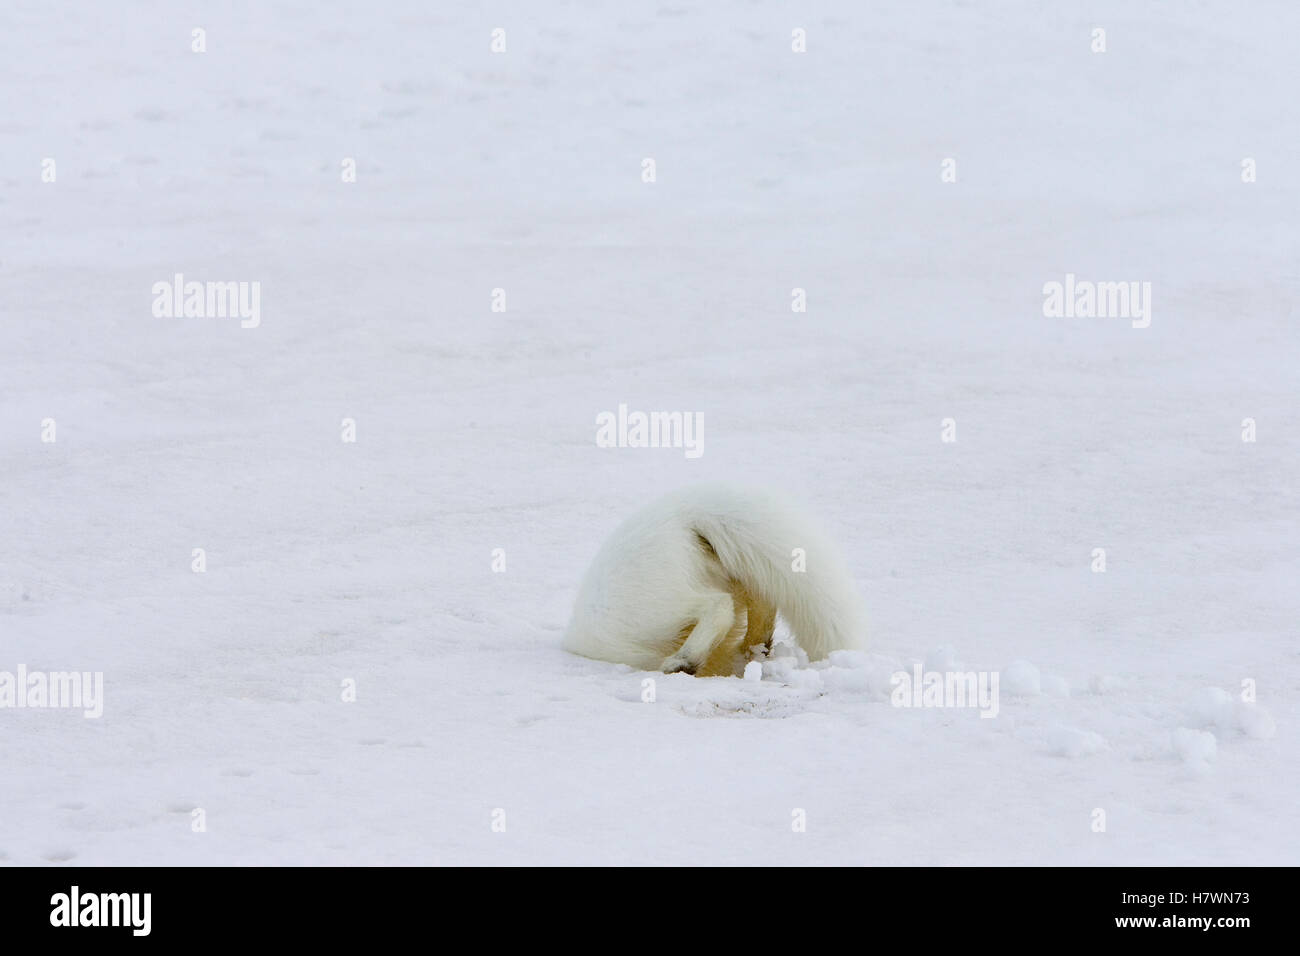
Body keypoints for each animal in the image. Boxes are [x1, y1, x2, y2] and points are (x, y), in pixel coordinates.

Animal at [563, 483, 866, 677]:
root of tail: (684, 515)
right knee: (756, 602)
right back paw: (753, 650)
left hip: (649, 610)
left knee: (718, 607)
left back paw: (683, 662)